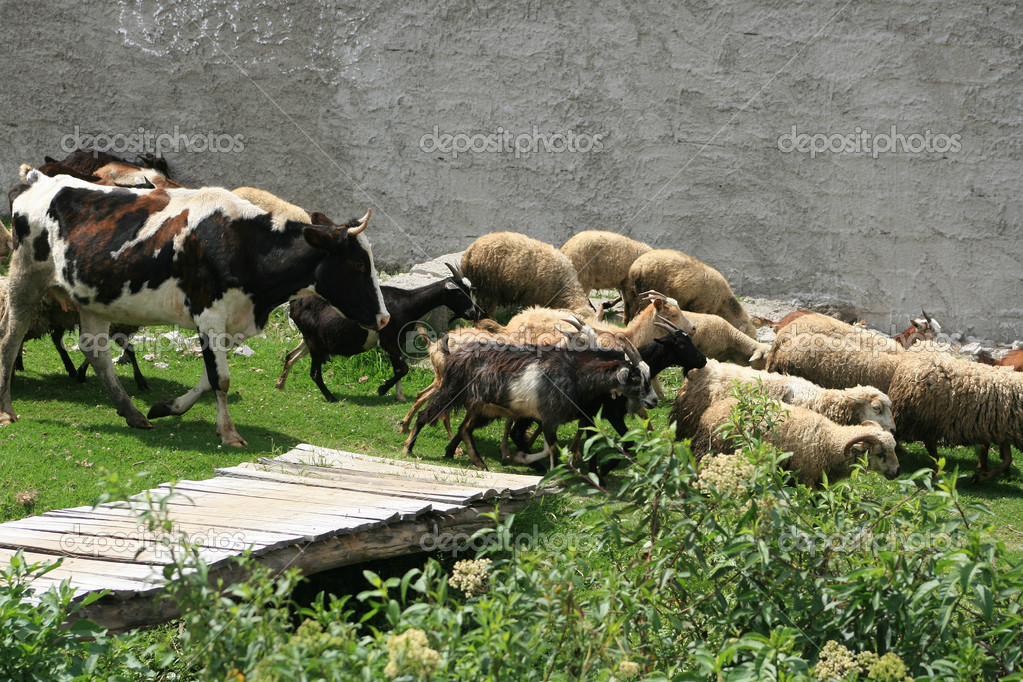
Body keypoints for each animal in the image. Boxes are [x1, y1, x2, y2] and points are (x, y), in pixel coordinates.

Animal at [1, 168, 389, 445]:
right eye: (357, 265)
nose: (384, 318)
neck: (243, 243)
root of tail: (41, 180)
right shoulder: (209, 314)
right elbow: (222, 379)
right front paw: (229, 433)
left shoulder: (232, 322)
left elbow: (209, 377)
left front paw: (168, 407)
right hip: (26, 278)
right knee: (11, 338)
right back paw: (7, 410)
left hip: (93, 296)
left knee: (94, 350)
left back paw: (132, 413)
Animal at [887, 353, 1023, 482]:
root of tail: (905, 365)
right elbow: (1007, 459)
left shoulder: (1003, 431)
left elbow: (1008, 459)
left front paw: (982, 476)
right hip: (914, 416)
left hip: (927, 420)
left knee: (928, 443)